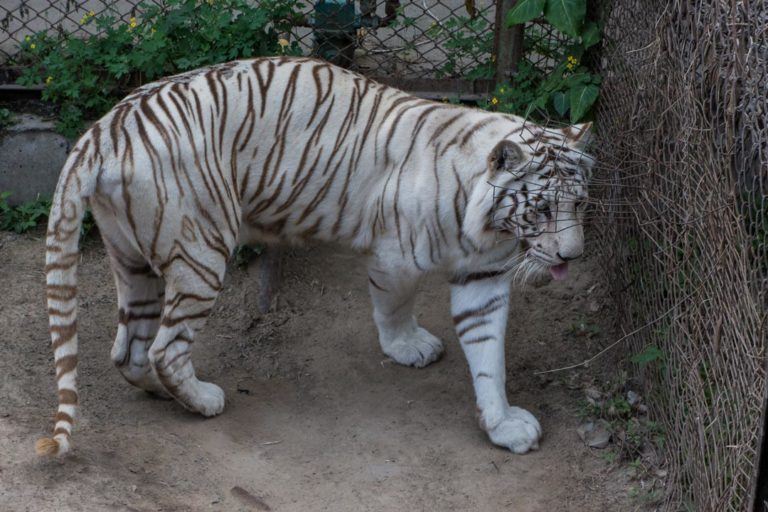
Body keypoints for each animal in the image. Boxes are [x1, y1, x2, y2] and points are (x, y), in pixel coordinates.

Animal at [36, 56, 593, 458]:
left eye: (580, 204)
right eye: (542, 208)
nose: (572, 255)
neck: (488, 223)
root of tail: (104, 130)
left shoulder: (485, 275)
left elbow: (488, 355)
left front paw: (502, 425)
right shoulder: (395, 258)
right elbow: (394, 310)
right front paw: (407, 348)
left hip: (132, 258)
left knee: (129, 350)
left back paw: (160, 392)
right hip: (201, 251)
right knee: (165, 348)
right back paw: (204, 401)